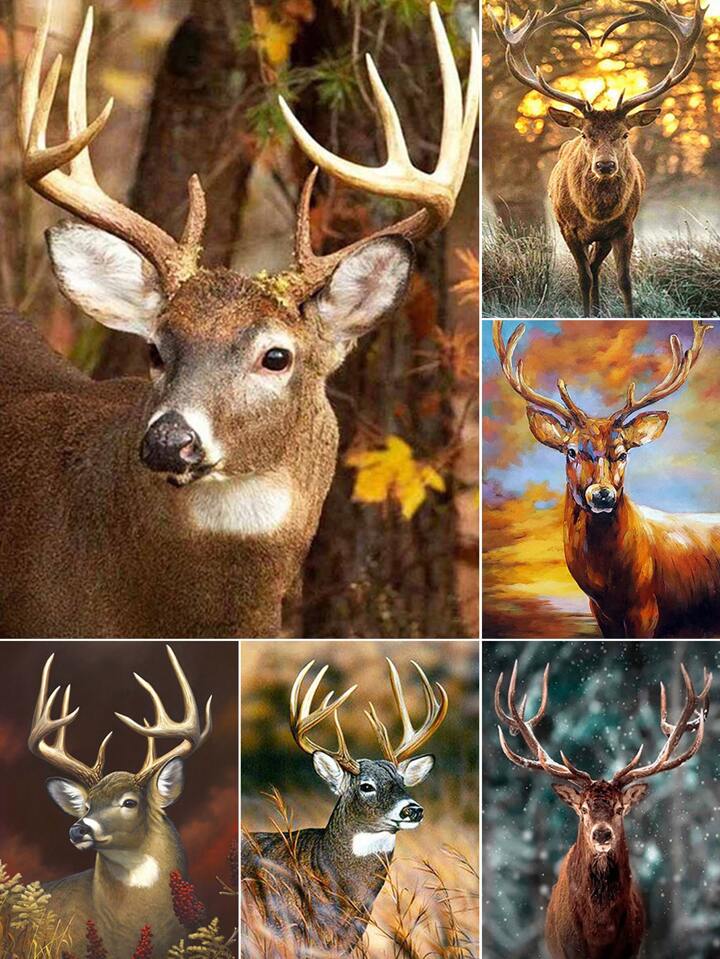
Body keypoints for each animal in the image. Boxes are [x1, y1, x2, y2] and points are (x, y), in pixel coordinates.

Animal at [490, 0, 706, 317]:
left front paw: (627, 315)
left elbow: (624, 279)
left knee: (596, 266)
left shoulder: (624, 227)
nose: (605, 165)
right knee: (590, 269)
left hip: (604, 239)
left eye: (624, 134)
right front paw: (585, 314)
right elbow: (583, 277)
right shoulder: (567, 228)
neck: (596, 213)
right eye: (585, 134)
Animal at [493, 319, 720, 638]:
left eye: (623, 453)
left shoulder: (646, 610)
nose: (602, 494)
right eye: (571, 451)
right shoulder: (601, 613)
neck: (609, 585)